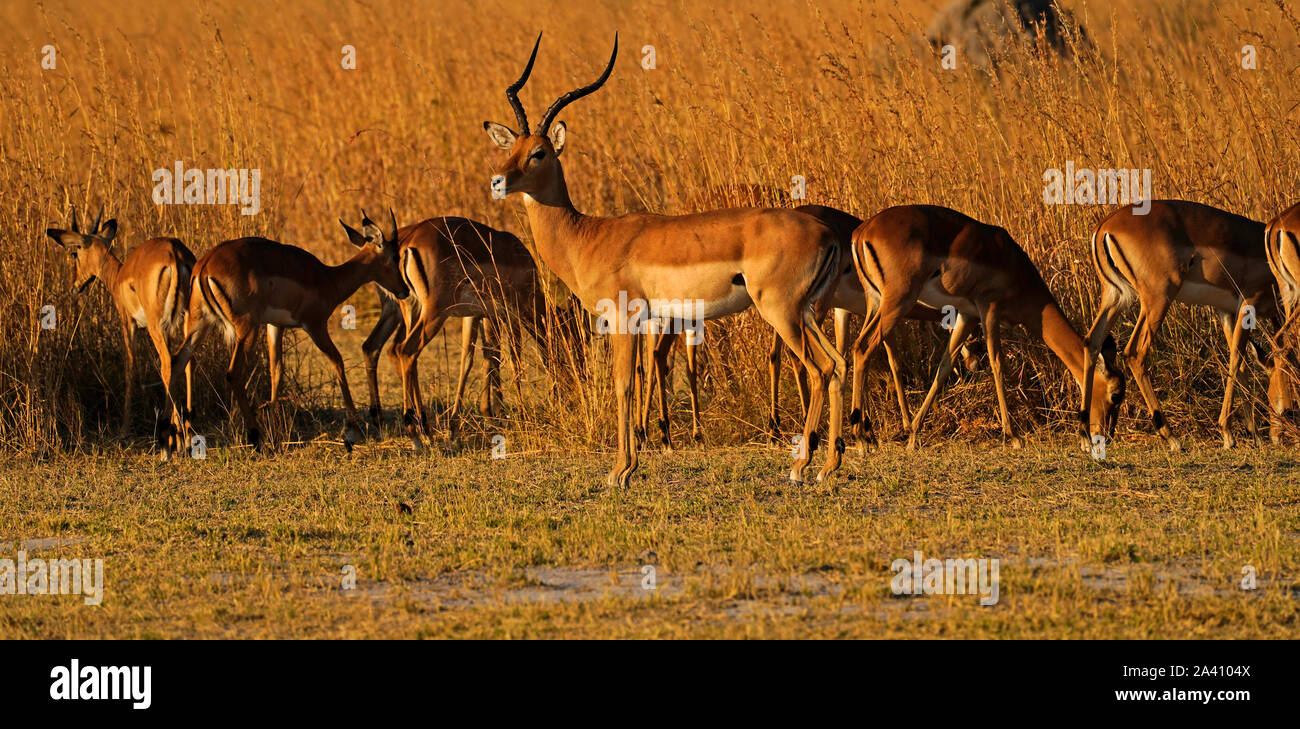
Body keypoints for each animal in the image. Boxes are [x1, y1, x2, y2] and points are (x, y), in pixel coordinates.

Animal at [45, 207, 196, 446]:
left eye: (75, 254)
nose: (74, 286)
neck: (119, 276)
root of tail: (175, 254)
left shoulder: (128, 323)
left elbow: (130, 367)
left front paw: (124, 430)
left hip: (156, 326)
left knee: (167, 364)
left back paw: (174, 434)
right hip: (185, 321)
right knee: (186, 361)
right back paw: (188, 432)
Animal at [166, 211, 409, 455]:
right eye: (394, 257)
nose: (405, 290)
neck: (328, 279)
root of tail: (204, 266)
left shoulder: (275, 326)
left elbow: (277, 371)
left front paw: (278, 436)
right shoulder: (315, 325)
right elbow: (338, 362)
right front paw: (353, 433)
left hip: (198, 325)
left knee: (175, 365)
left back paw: (180, 442)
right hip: (246, 329)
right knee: (233, 373)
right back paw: (255, 439)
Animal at [484, 33, 847, 485]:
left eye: (539, 153)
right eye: (511, 148)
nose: (498, 181)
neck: (587, 236)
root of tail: (827, 232)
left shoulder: (622, 319)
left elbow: (622, 384)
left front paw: (618, 471)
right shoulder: (645, 322)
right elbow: (639, 380)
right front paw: (633, 463)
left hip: (781, 312)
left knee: (819, 369)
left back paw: (800, 466)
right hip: (808, 313)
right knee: (839, 364)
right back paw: (828, 465)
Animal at [849, 205, 1126, 450]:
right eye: (1115, 394)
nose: (1106, 436)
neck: (1016, 268)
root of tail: (862, 232)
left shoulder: (967, 316)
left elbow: (944, 366)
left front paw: (914, 433)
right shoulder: (989, 308)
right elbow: (997, 363)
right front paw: (1014, 436)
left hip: (876, 303)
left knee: (859, 348)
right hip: (897, 302)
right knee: (862, 348)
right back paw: (862, 440)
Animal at [1081, 200, 1284, 450]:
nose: (1278, 435)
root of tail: (1105, 227)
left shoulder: (1227, 311)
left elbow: (1241, 363)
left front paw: (1251, 433)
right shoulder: (1248, 305)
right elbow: (1236, 360)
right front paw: (1228, 434)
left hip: (1117, 297)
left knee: (1091, 343)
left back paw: (1085, 437)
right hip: (1158, 299)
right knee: (1135, 352)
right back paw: (1172, 438)